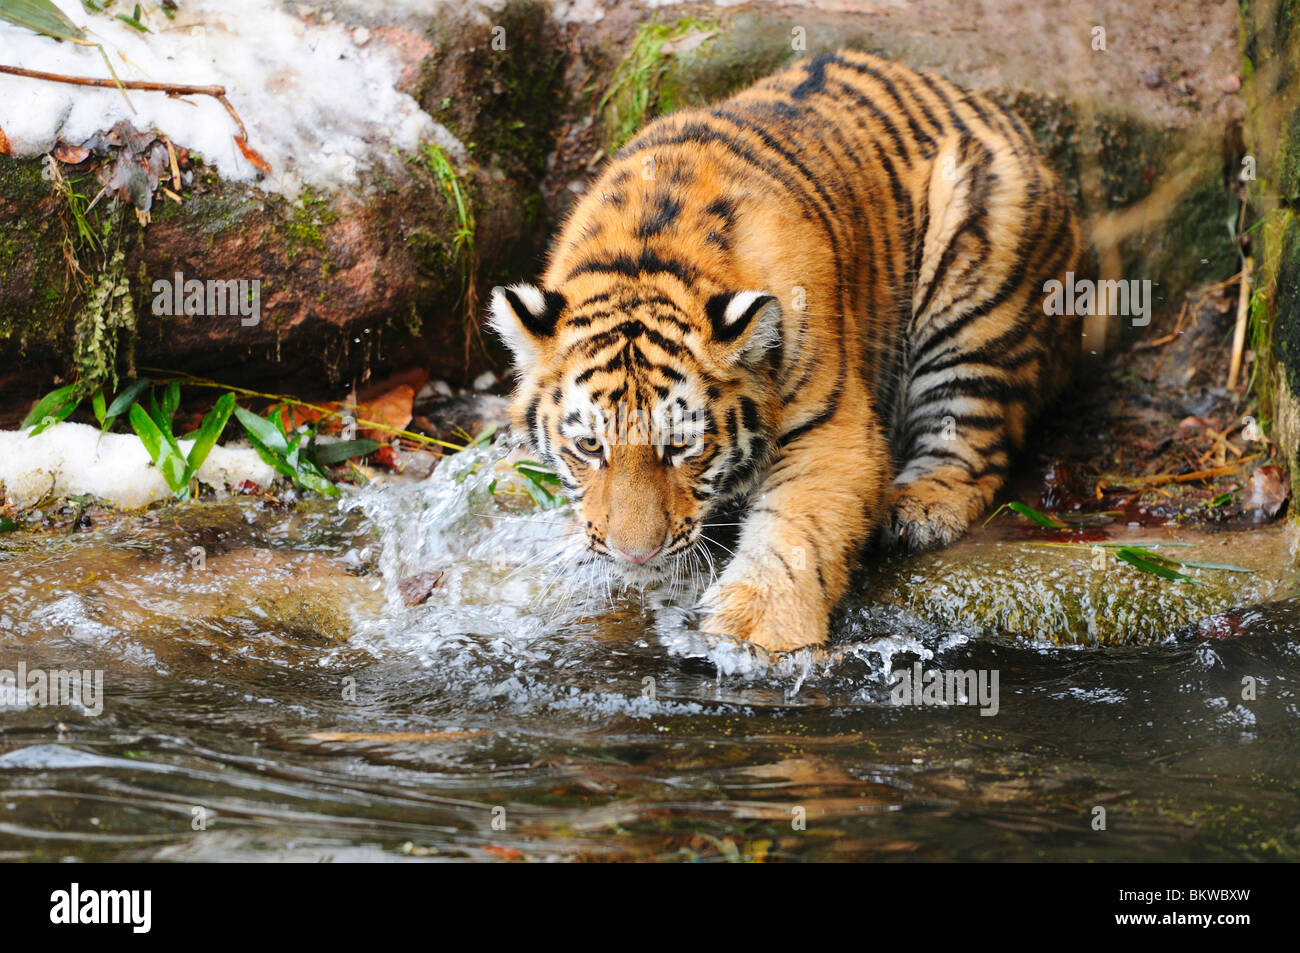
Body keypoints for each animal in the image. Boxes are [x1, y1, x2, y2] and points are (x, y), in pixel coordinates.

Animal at [488, 49, 1083, 653]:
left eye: (680, 446)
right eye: (589, 446)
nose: (636, 554)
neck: (647, 257)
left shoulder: (835, 429)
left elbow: (794, 532)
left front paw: (753, 636)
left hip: (974, 300)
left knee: (975, 440)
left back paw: (918, 507)